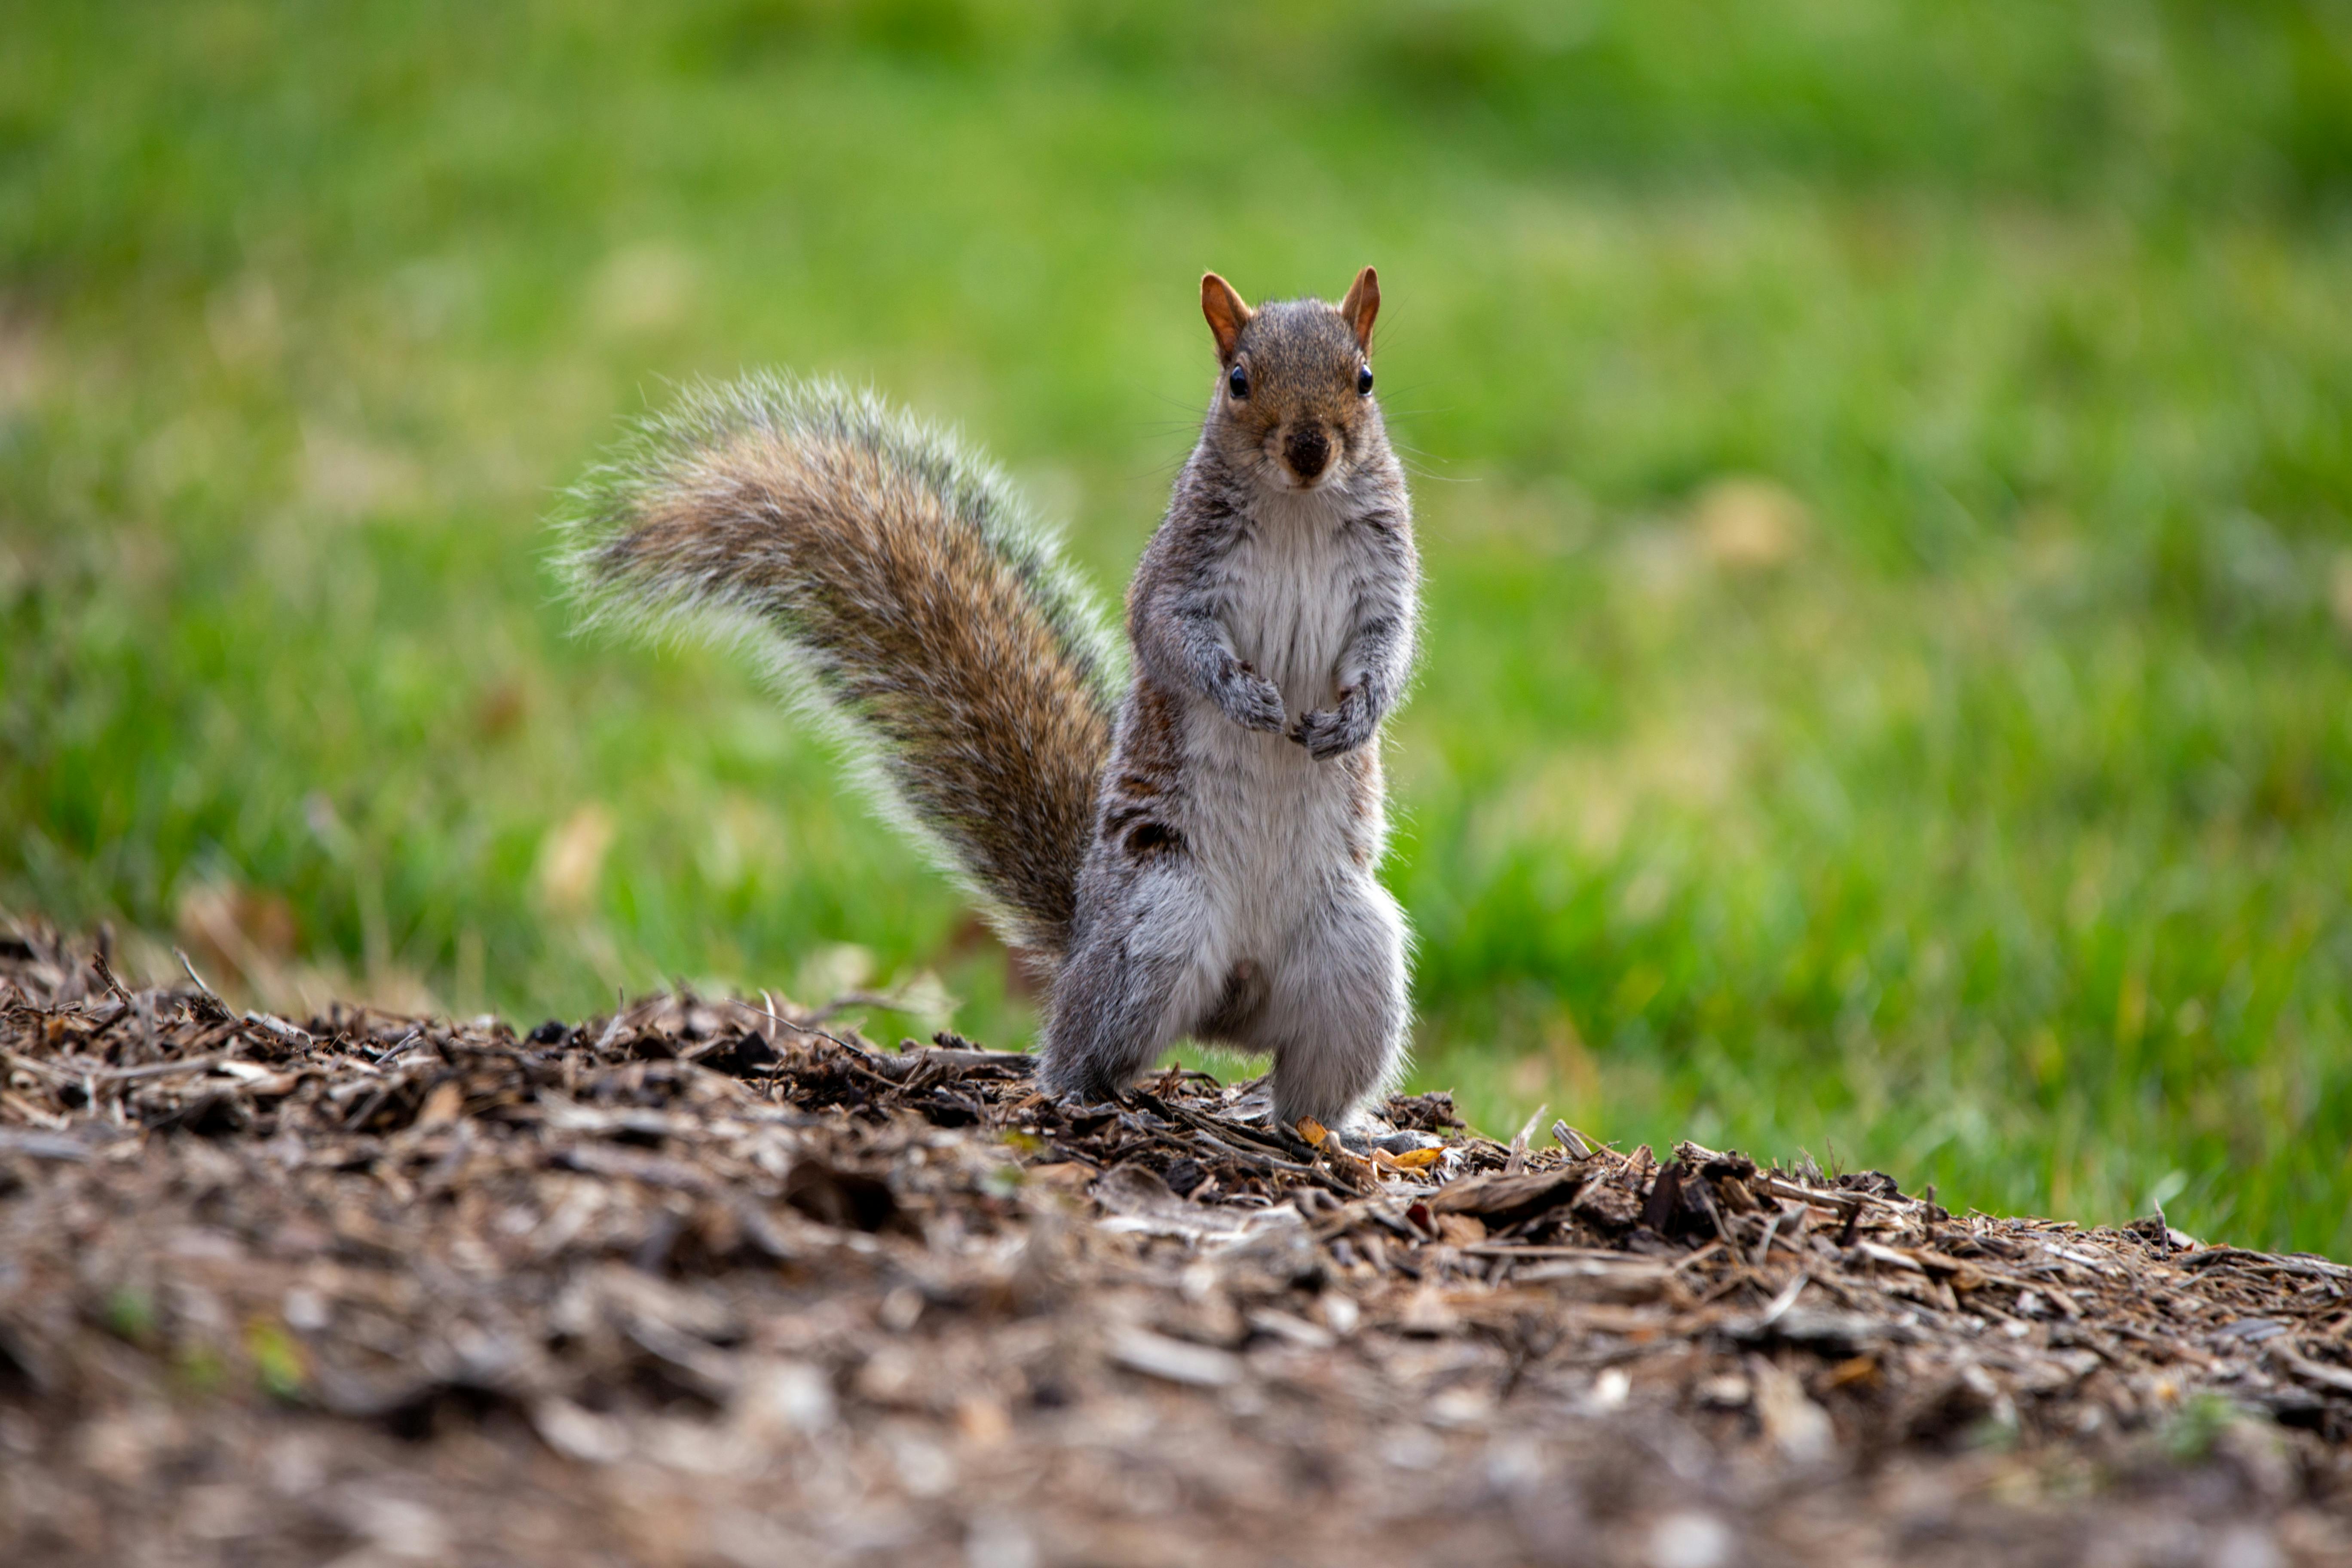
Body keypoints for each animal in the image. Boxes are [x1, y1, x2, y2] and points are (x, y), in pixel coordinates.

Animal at [559, 268, 1418, 1126]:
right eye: (1238, 381)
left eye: (1365, 380)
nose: (1309, 451)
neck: (1297, 507)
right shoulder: (1179, 573)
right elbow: (1170, 636)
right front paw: (1243, 698)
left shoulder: (1385, 579)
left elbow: (1391, 649)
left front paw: (1356, 717)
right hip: (1153, 930)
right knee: (1081, 1043)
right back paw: (1083, 1096)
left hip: (1355, 962)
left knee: (1311, 1083)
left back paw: (1329, 1133)